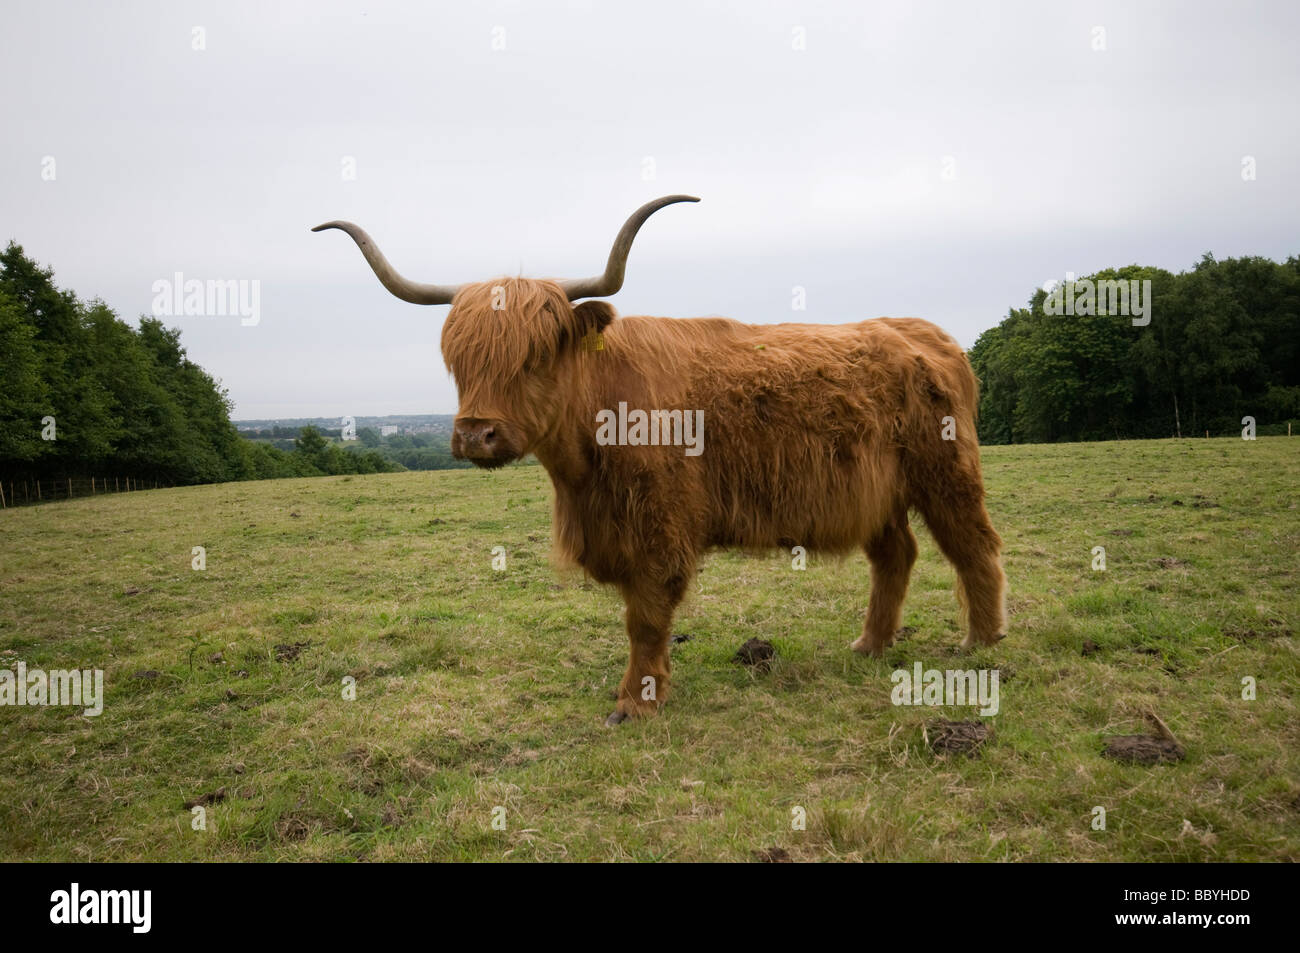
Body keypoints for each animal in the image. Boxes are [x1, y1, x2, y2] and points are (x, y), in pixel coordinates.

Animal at [313, 196, 1006, 725]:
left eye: (536, 356)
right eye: (458, 361)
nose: (475, 435)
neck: (581, 467)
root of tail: (925, 332)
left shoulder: (661, 529)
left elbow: (645, 619)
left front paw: (635, 703)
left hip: (945, 472)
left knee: (973, 545)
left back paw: (981, 640)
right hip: (876, 491)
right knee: (896, 555)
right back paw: (869, 645)